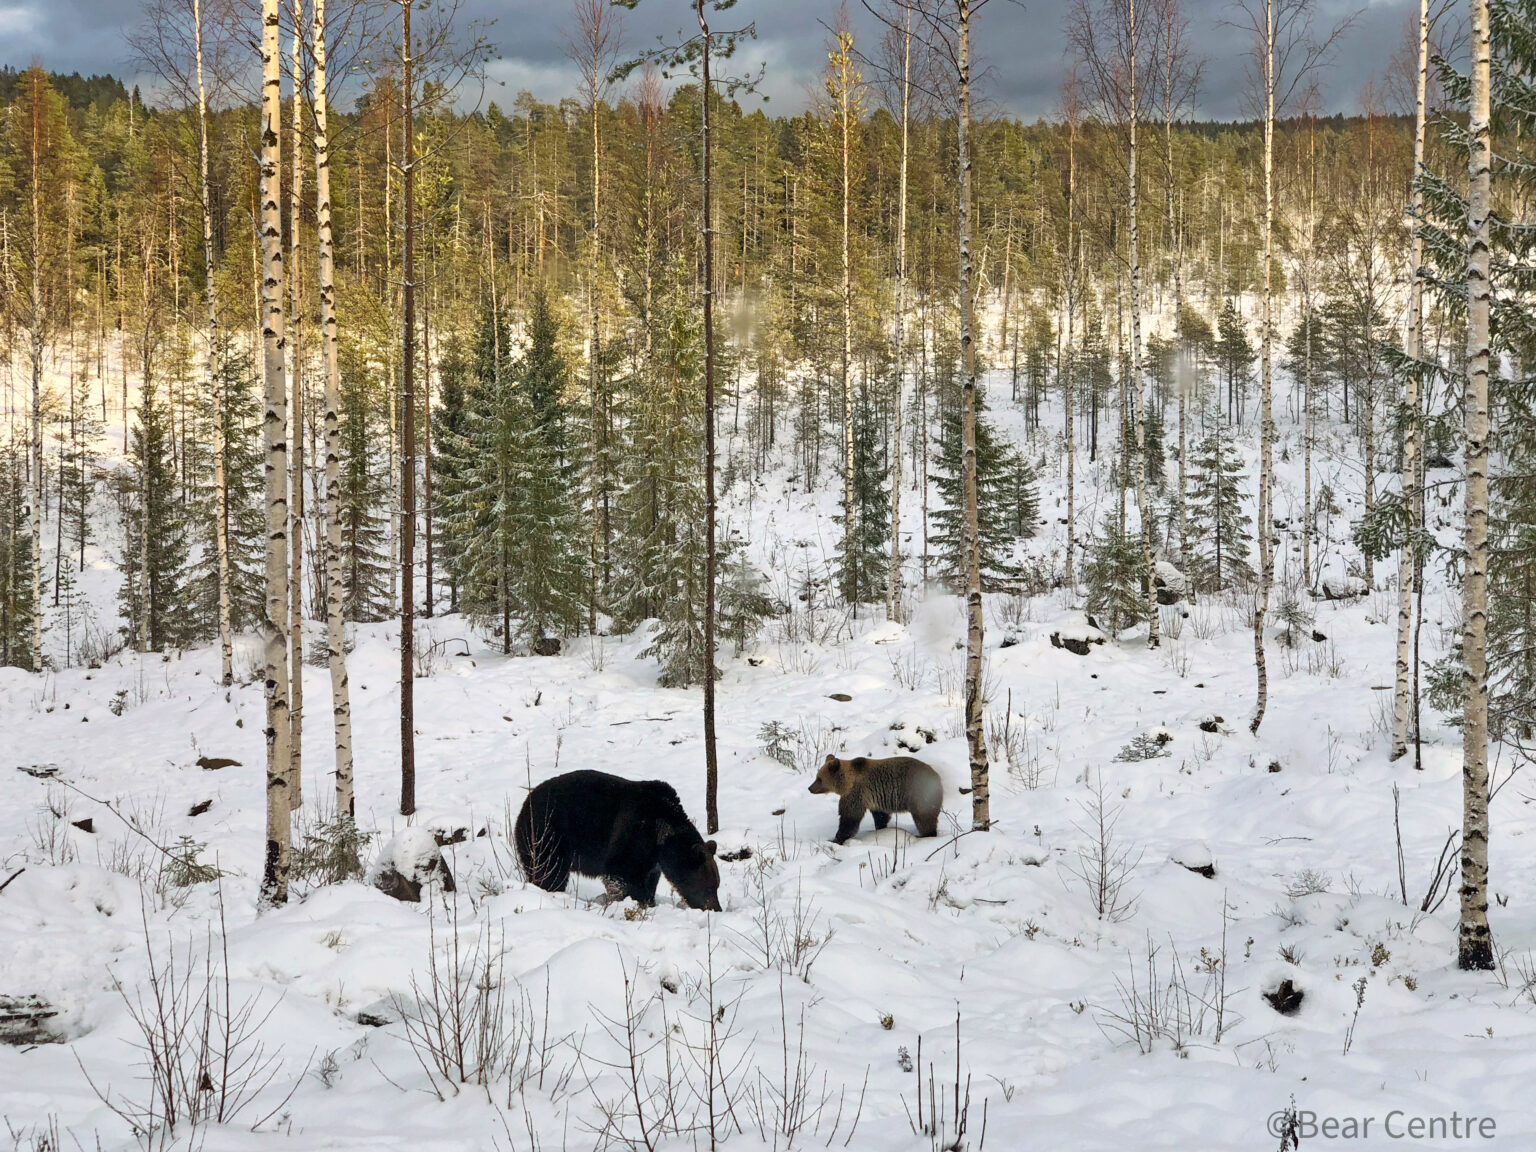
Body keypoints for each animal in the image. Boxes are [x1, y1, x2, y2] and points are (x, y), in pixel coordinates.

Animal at [514, 769, 722, 910]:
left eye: (716, 885)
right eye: (710, 887)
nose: (716, 908)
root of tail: (525, 804)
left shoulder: (650, 859)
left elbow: (648, 880)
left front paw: (648, 901)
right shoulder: (633, 833)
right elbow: (620, 874)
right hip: (549, 834)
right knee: (550, 871)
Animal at [808, 754, 943, 844]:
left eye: (819, 778)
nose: (810, 788)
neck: (847, 783)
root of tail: (937, 776)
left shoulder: (856, 794)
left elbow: (849, 818)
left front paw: (837, 839)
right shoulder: (876, 797)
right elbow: (881, 816)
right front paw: (880, 828)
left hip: (920, 794)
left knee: (924, 818)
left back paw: (925, 835)